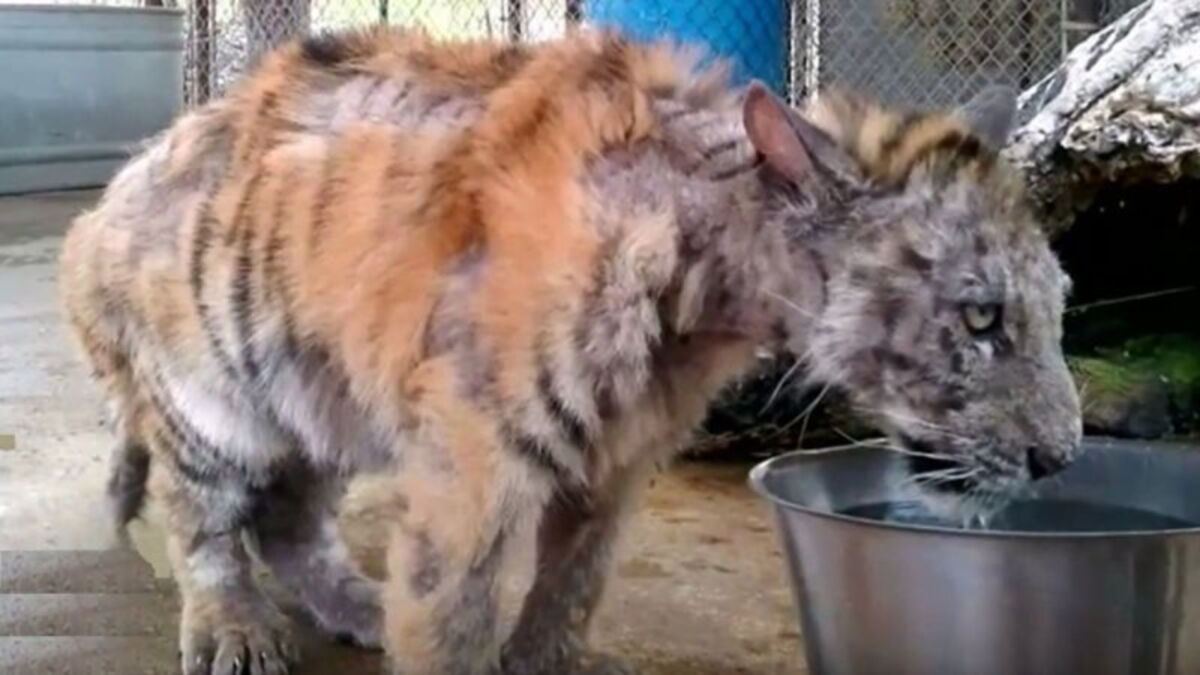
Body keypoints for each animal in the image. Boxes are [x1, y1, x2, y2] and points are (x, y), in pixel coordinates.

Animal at [59, 25, 1080, 675]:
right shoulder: (473, 457)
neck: (705, 290)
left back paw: (356, 608)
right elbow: (454, 609)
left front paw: (548, 659)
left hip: (322, 395)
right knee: (201, 518)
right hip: (211, 393)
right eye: (981, 318)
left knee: (287, 518)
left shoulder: (616, 457)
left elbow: (572, 583)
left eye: (1057, 305)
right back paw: (233, 632)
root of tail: (111, 197)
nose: (1060, 457)